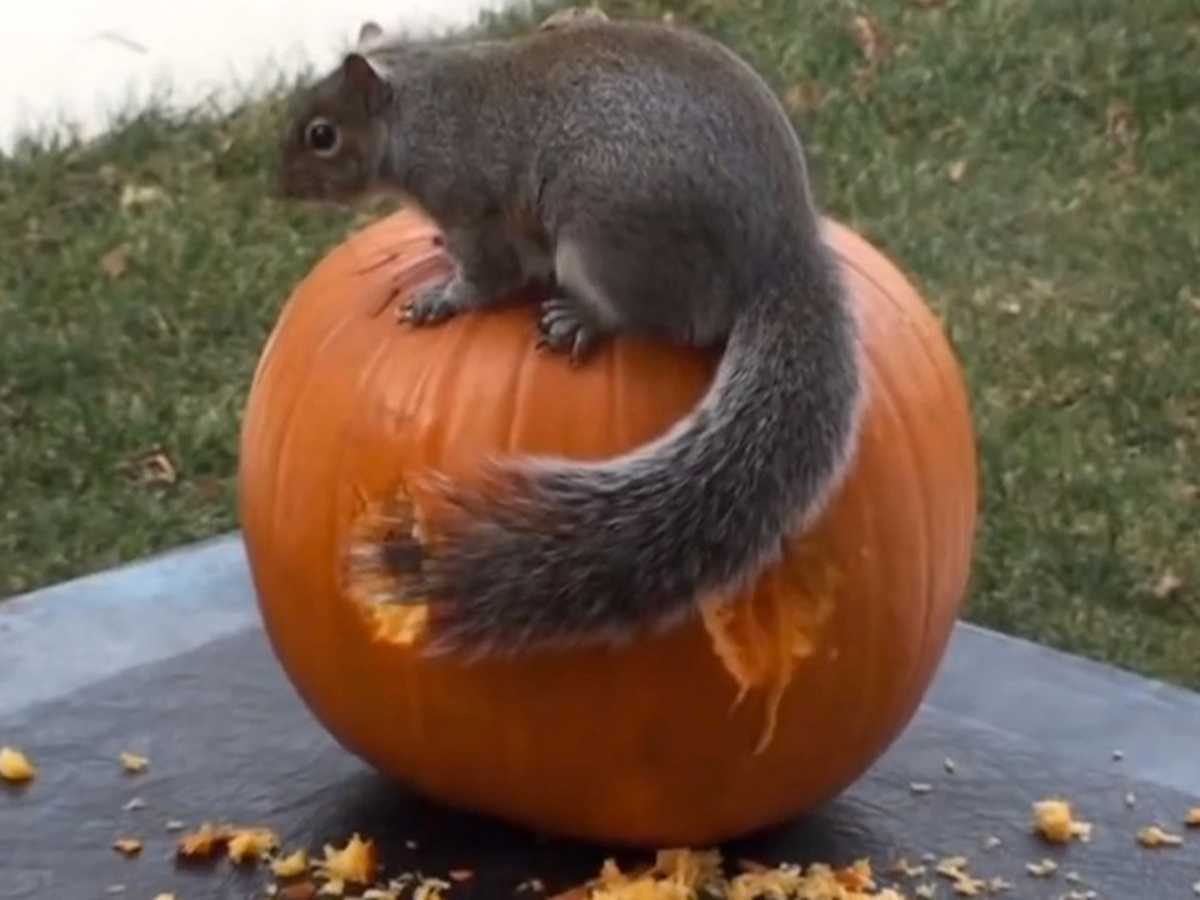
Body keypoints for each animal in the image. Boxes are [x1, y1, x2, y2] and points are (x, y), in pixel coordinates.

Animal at [277, 11, 866, 658]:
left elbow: (488, 276)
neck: (419, 106)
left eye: (323, 135)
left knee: (657, 317)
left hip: (606, 237)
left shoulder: (473, 208)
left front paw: (442, 298)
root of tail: (781, 249)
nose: (280, 186)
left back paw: (580, 320)